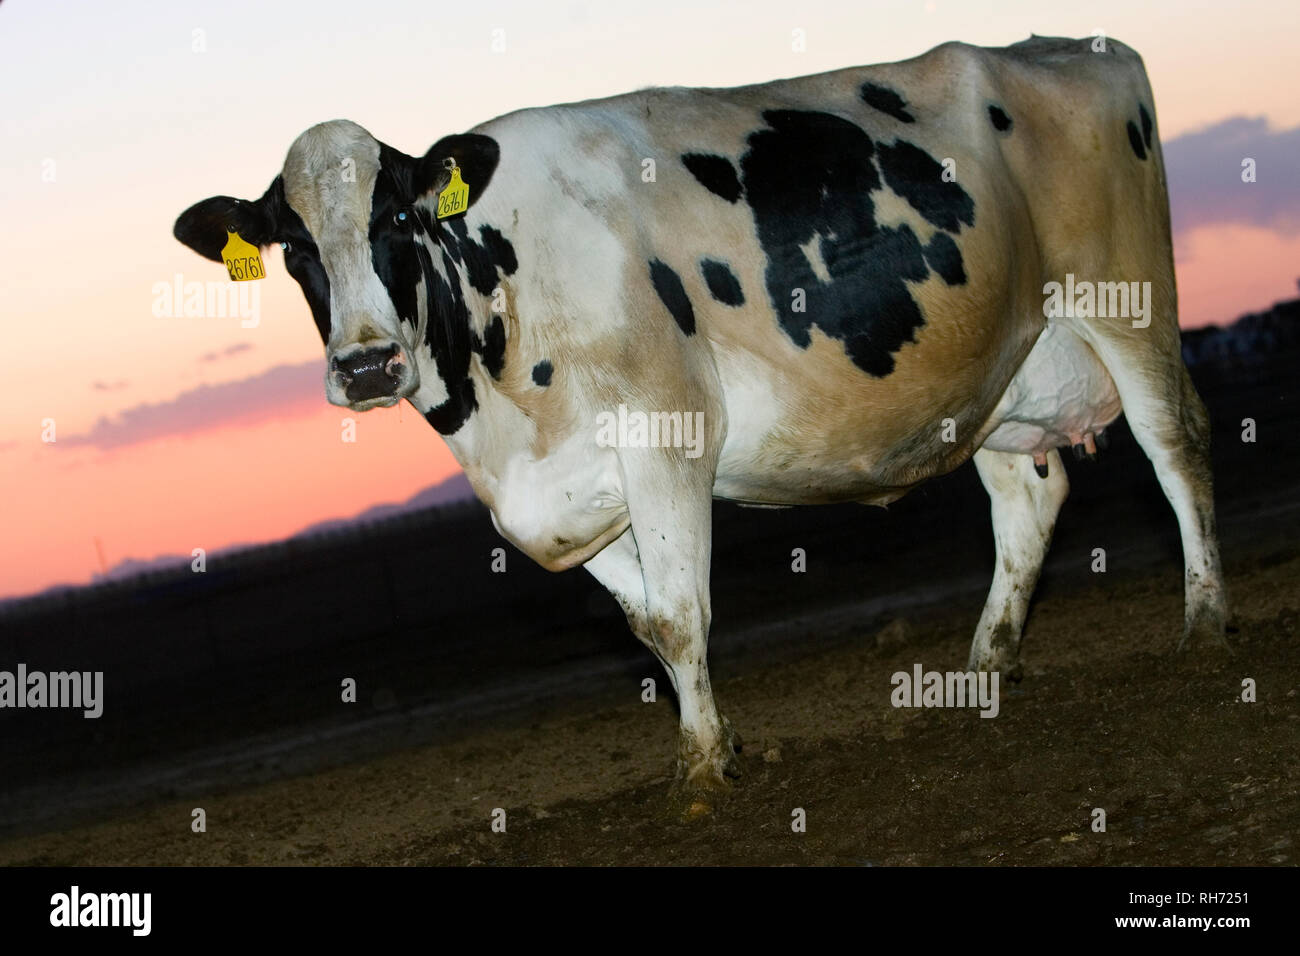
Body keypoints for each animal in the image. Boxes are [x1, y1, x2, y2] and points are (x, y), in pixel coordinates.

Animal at [174, 35, 1227, 812]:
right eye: (294, 246)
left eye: (398, 217)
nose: (365, 366)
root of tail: (1067, 45)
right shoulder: (565, 493)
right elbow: (646, 622)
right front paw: (707, 741)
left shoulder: (665, 435)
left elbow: (683, 615)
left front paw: (705, 765)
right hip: (1001, 378)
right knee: (1029, 498)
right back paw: (986, 666)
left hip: (1126, 296)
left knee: (1175, 443)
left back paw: (1206, 622)